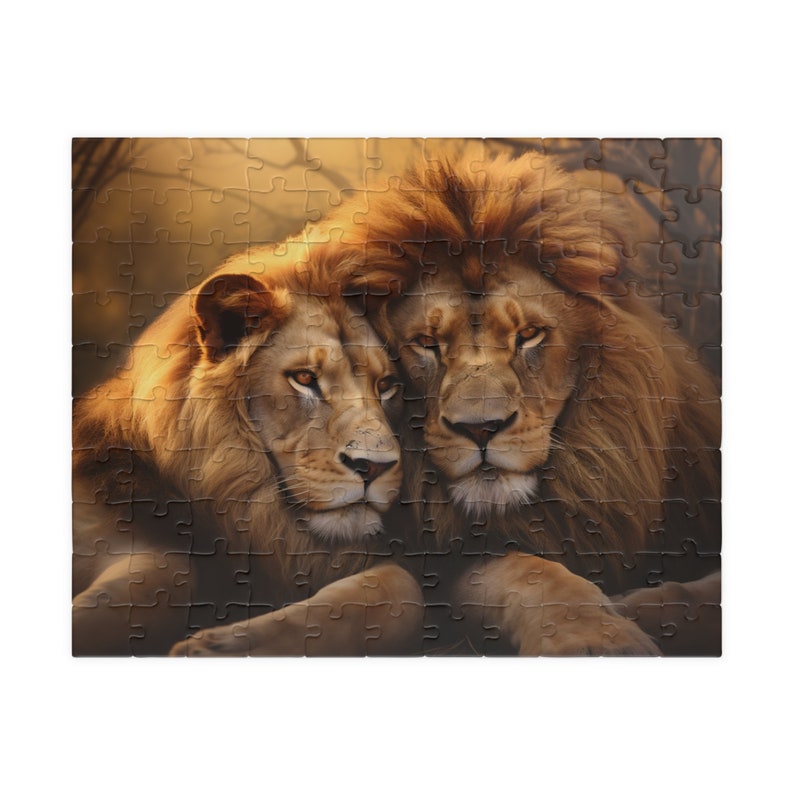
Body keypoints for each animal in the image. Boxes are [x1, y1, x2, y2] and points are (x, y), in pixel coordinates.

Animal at [73, 241, 423, 656]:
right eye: (304, 377)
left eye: (386, 385)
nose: (375, 466)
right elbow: (171, 572)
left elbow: (404, 587)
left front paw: (215, 645)